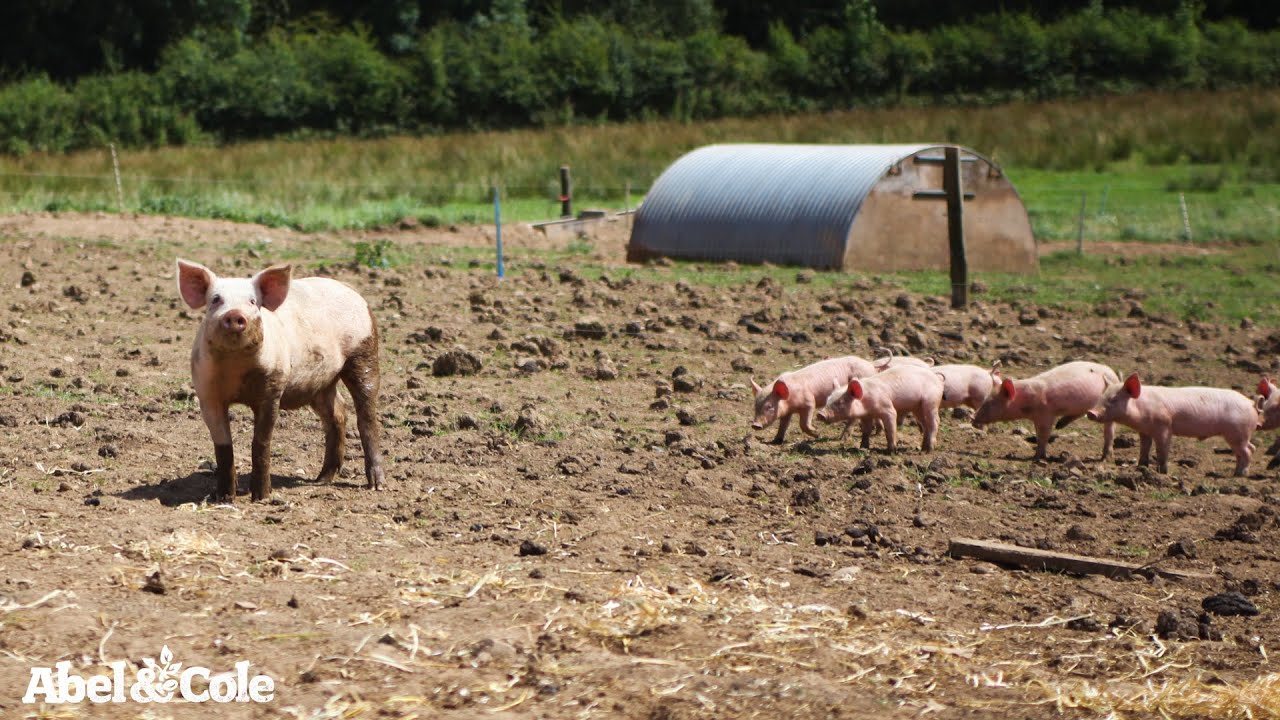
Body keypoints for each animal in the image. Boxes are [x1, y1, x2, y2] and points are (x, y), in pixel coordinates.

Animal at [177, 259, 384, 502]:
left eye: (253, 301)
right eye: (216, 299)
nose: (235, 314)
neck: (236, 369)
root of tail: (350, 289)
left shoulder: (272, 388)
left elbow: (261, 442)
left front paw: (261, 497)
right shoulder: (207, 393)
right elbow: (223, 447)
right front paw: (224, 497)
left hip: (365, 351)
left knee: (366, 414)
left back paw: (377, 485)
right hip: (320, 382)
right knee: (338, 413)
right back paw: (321, 480)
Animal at [972, 360, 1119, 461]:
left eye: (990, 402)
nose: (972, 418)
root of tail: (1112, 372)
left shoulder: (1046, 414)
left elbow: (1043, 435)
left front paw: (1037, 458)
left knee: (1109, 431)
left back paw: (1106, 458)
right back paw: (1060, 425)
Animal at [1087, 373, 1258, 476]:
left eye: (1114, 399)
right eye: (1101, 396)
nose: (1091, 412)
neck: (1141, 408)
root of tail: (1251, 403)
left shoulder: (1164, 426)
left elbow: (1162, 450)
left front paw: (1162, 473)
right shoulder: (1145, 431)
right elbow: (1144, 448)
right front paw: (1141, 467)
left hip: (1237, 433)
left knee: (1248, 451)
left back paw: (1240, 475)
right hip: (1239, 435)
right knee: (1249, 449)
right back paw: (1236, 472)